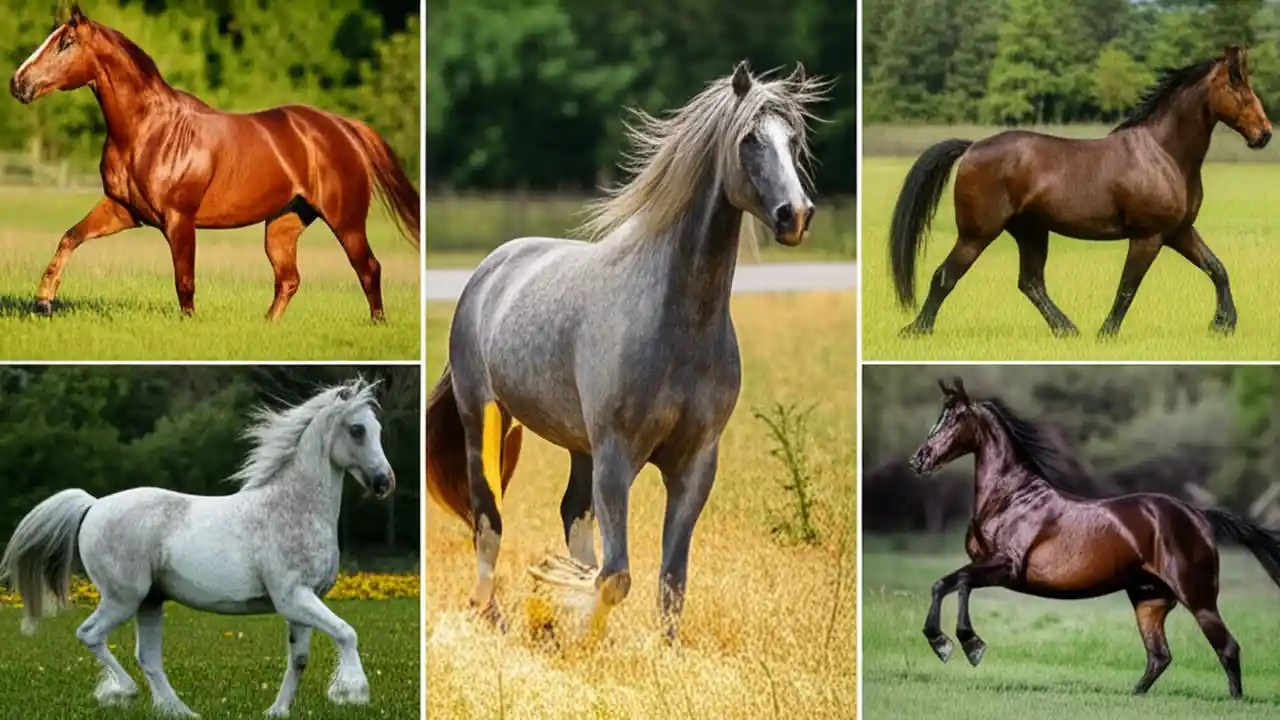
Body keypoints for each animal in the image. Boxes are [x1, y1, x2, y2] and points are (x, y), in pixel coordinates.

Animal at [0, 378, 396, 717]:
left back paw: (179, 711)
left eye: (378, 429)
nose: (384, 483)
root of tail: (93, 505)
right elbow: (346, 632)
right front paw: (353, 692)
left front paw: (277, 711)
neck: (292, 507)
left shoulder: (303, 601)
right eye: (357, 430)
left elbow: (299, 659)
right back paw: (125, 692)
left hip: (150, 601)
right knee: (91, 635)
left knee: (147, 657)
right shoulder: (293, 597)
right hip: (123, 597)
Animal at [8, 5, 419, 322]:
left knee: (368, 269)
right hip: (284, 224)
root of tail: (343, 126)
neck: (149, 131)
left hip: (345, 220)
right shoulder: (124, 210)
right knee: (289, 279)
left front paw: (189, 324)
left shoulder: (179, 219)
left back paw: (377, 324)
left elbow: (184, 280)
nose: (17, 83)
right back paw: (266, 326)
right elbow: (69, 238)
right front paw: (43, 302)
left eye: (65, 43)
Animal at [425, 62, 825, 639]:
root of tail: (488, 270)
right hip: (485, 419)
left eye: (793, 140)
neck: (678, 326)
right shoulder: (617, 456)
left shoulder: (695, 463)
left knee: (571, 514)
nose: (795, 214)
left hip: (579, 446)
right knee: (488, 520)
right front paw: (579, 631)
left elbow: (670, 580)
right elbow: (616, 577)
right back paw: (491, 613)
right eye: (749, 139)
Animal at [889, 46, 1272, 339]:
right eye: (1238, 88)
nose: (1264, 134)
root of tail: (972, 148)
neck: (1164, 154)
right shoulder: (1148, 236)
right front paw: (1107, 334)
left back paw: (1067, 330)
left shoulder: (1179, 231)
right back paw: (916, 330)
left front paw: (1223, 325)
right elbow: (1127, 288)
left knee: (1030, 283)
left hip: (1030, 231)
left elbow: (1217, 268)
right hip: (976, 234)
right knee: (945, 275)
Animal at [908, 377, 1280, 698]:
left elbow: (961, 584)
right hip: (1149, 599)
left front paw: (969, 645)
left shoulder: (1005, 567)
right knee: (1159, 655)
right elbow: (945, 584)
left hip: (1198, 598)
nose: (918, 460)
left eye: (954, 419)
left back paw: (1234, 700)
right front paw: (943, 644)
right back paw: (1134, 695)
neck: (1012, 498)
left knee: (1226, 647)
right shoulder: (985, 565)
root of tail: (1199, 516)